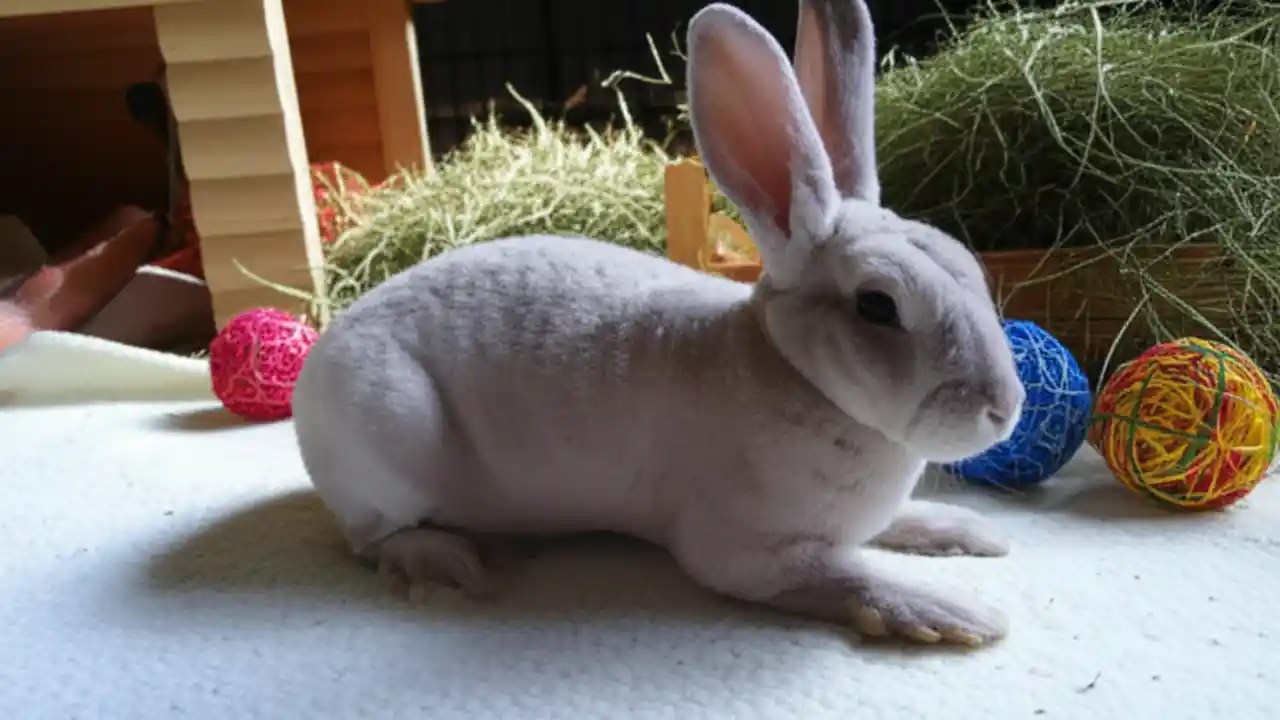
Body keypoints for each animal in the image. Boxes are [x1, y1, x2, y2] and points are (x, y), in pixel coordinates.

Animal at [292, 0, 1024, 647]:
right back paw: (454, 561)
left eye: (968, 265)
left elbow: (895, 527)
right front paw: (953, 614)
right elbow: (847, 576)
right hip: (389, 444)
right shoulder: (745, 552)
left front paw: (971, 533)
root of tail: (317, 369)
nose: (1005, 410)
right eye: (878, 305)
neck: (796, 376)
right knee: (373, 539)